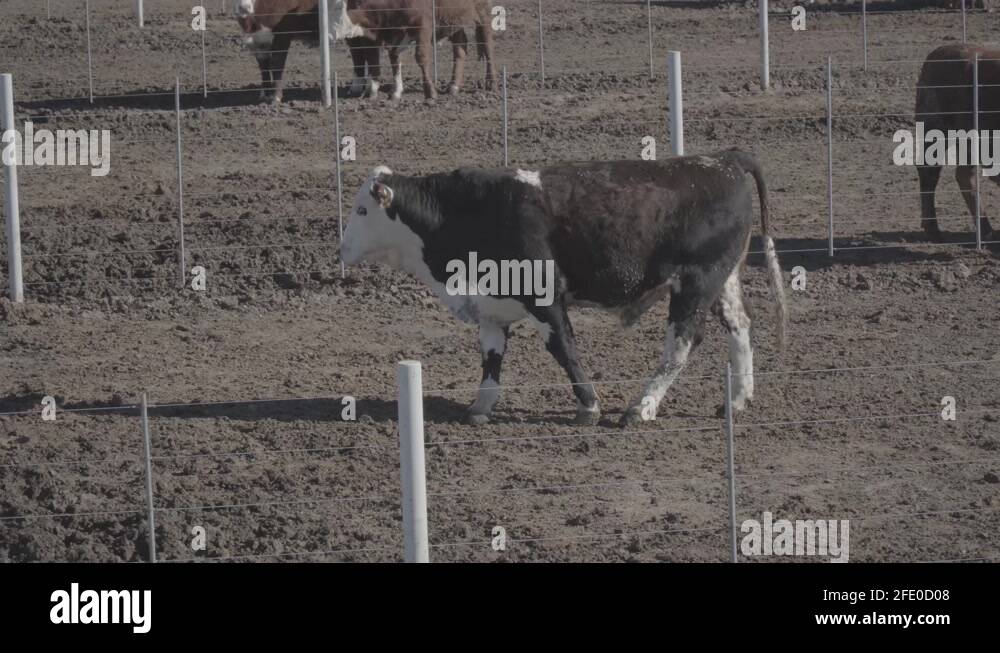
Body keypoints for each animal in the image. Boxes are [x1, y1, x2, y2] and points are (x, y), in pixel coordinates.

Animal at [332, 0, 497, 100]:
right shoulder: (395, 34)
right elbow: (393, 58)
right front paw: (395, 92)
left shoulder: (423, 25)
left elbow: (421, 57)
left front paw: (430, 92)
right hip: (453, 18)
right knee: (460, 48)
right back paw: (454, 86)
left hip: (483, 11)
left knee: (488, 43)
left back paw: (491, 82)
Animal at [339, 150, 788, 427]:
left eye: (362, 210)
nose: (341, 248)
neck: (469, 211)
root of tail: (722, 160)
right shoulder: (491, 303)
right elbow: (491, 357)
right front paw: (481, 406)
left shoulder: (545, 296)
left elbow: (564, 348)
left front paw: (589, 405)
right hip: (722, 279)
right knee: (740, 325)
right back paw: (737, 399)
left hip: (697, 281)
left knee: (683, 342)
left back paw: (641, 406)